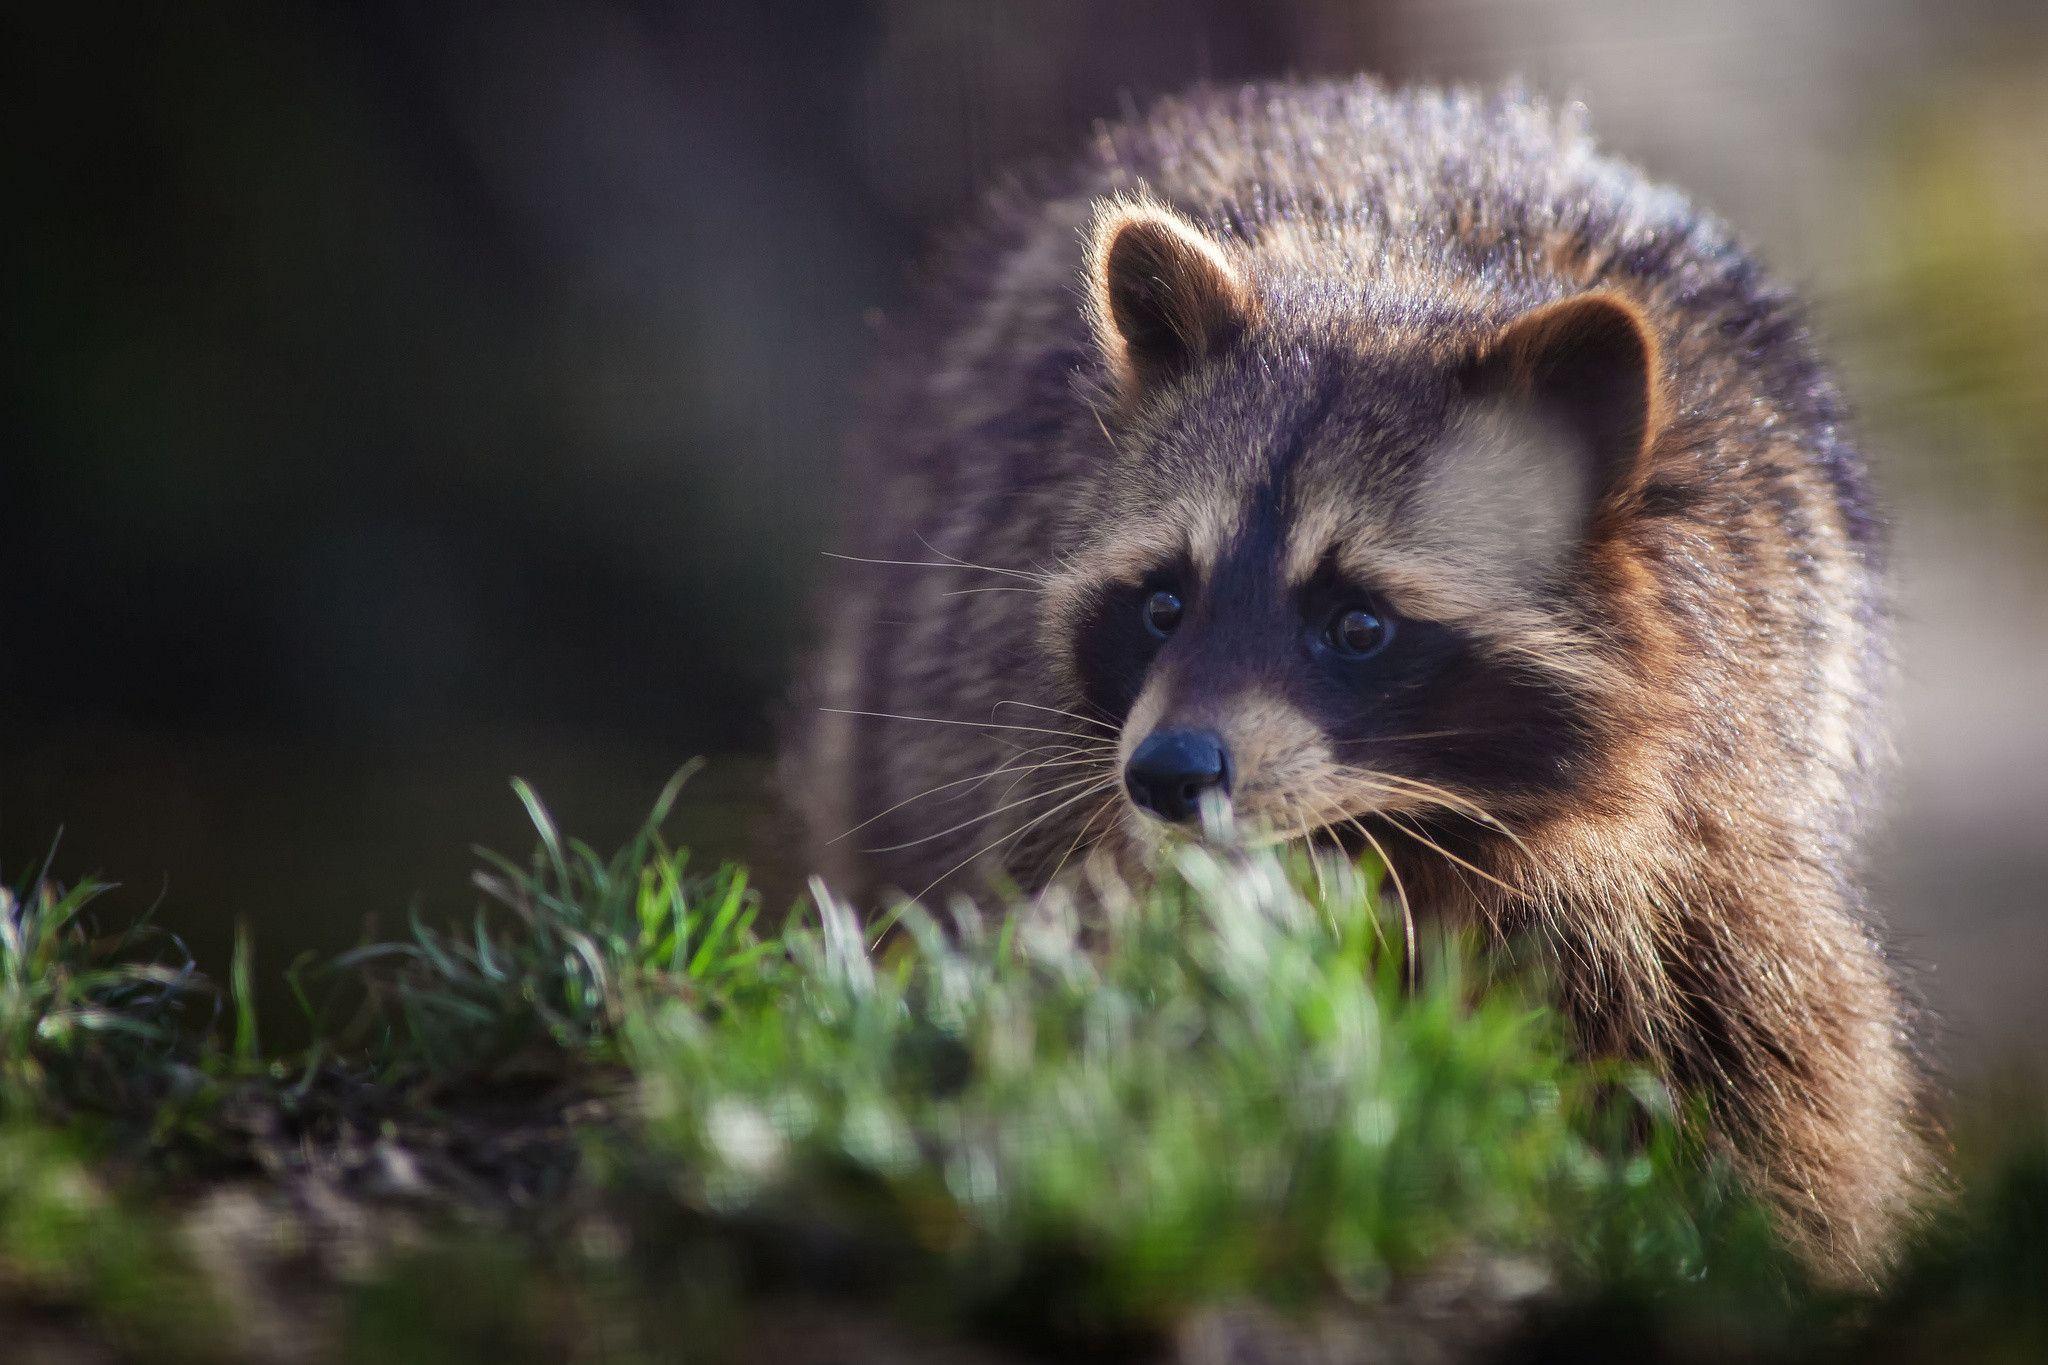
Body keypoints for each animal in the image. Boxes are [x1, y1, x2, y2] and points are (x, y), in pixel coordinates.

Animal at [780, 80, 1933, 1278]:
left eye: (1358, 625)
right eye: (1163, 604)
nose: (1167, 774)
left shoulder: (1708, 840)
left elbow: (1768, 1080)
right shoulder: (1063, 805)